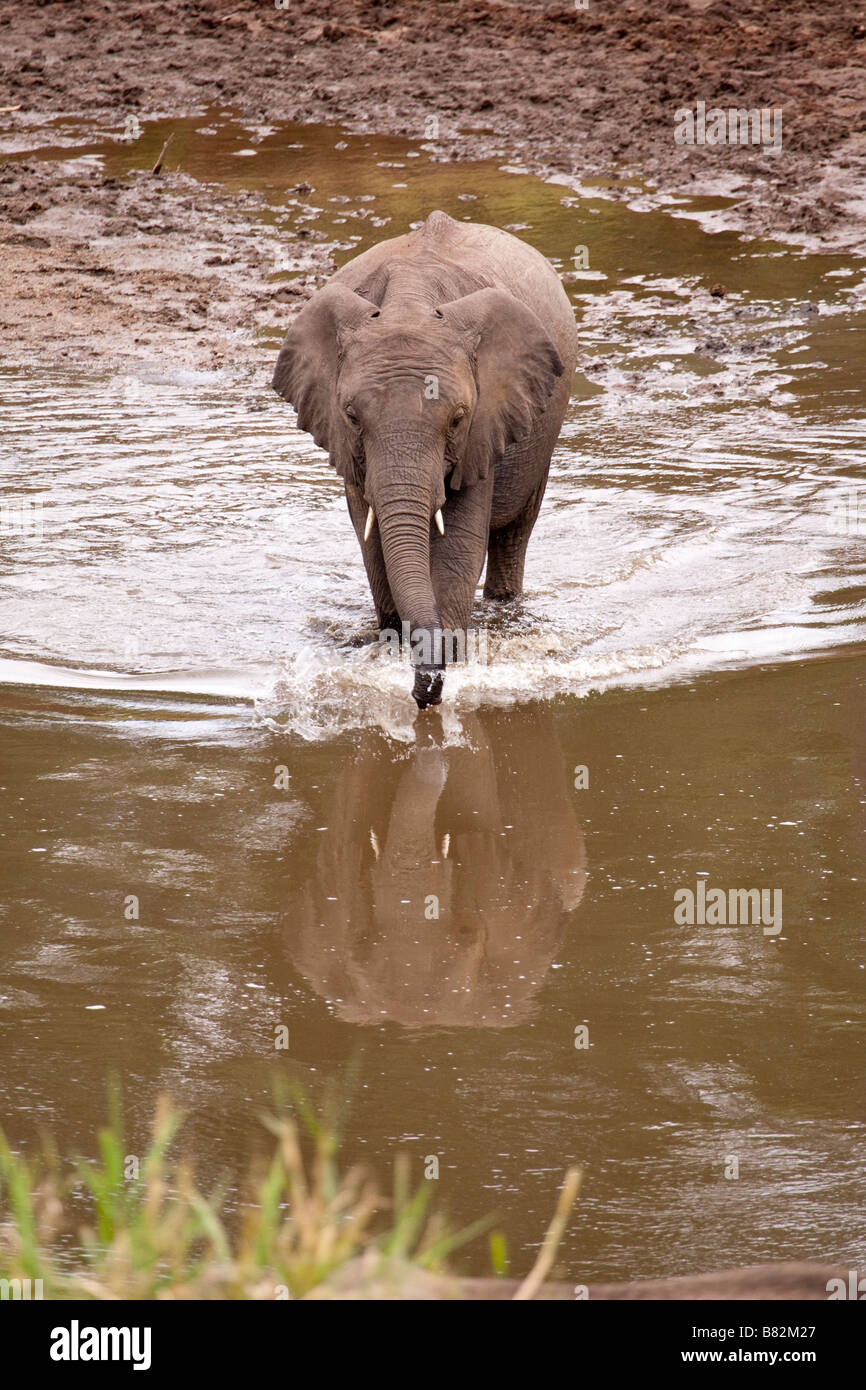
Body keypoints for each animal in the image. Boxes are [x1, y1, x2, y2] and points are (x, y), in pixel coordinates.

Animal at [272, 210, 579, 708]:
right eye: (351, 416)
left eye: (457, 419)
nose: (424, 693)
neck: (409, 304)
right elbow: (373, 543)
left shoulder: (483, 431)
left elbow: (458, 548)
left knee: (515, 532)